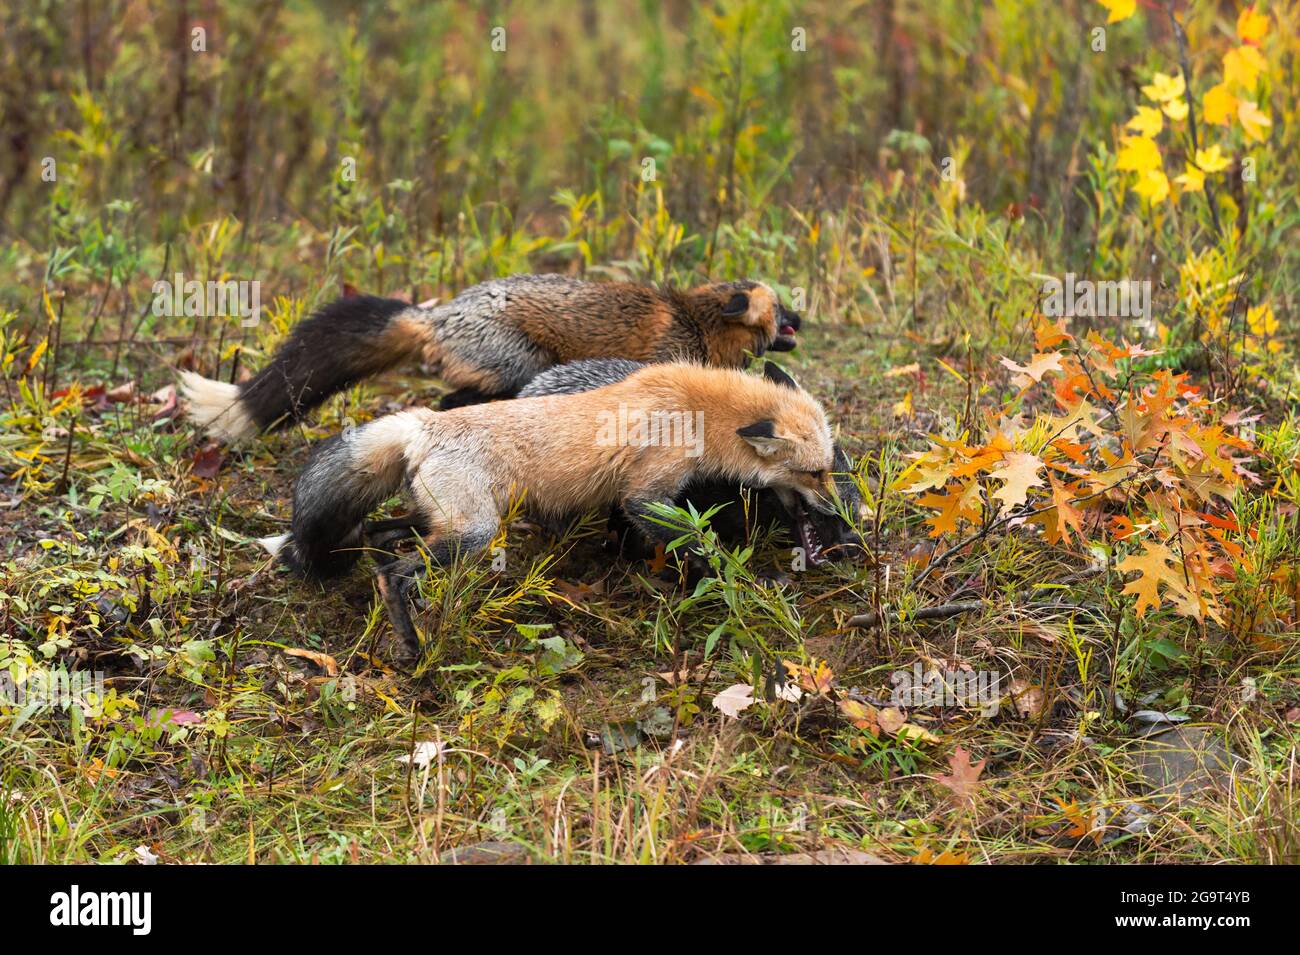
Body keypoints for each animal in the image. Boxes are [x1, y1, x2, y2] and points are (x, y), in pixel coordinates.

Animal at [179, 274, 803, 442]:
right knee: (454, 400)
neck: (694, 320)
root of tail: (434, 315)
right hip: (516, 366)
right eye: (781, 310)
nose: (805, 321)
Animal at [518, 358, 865, 566]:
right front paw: (740, 577)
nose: (843, 514)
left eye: (836, 466)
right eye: (813, 474)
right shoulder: (654, 492)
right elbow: (695, 540)